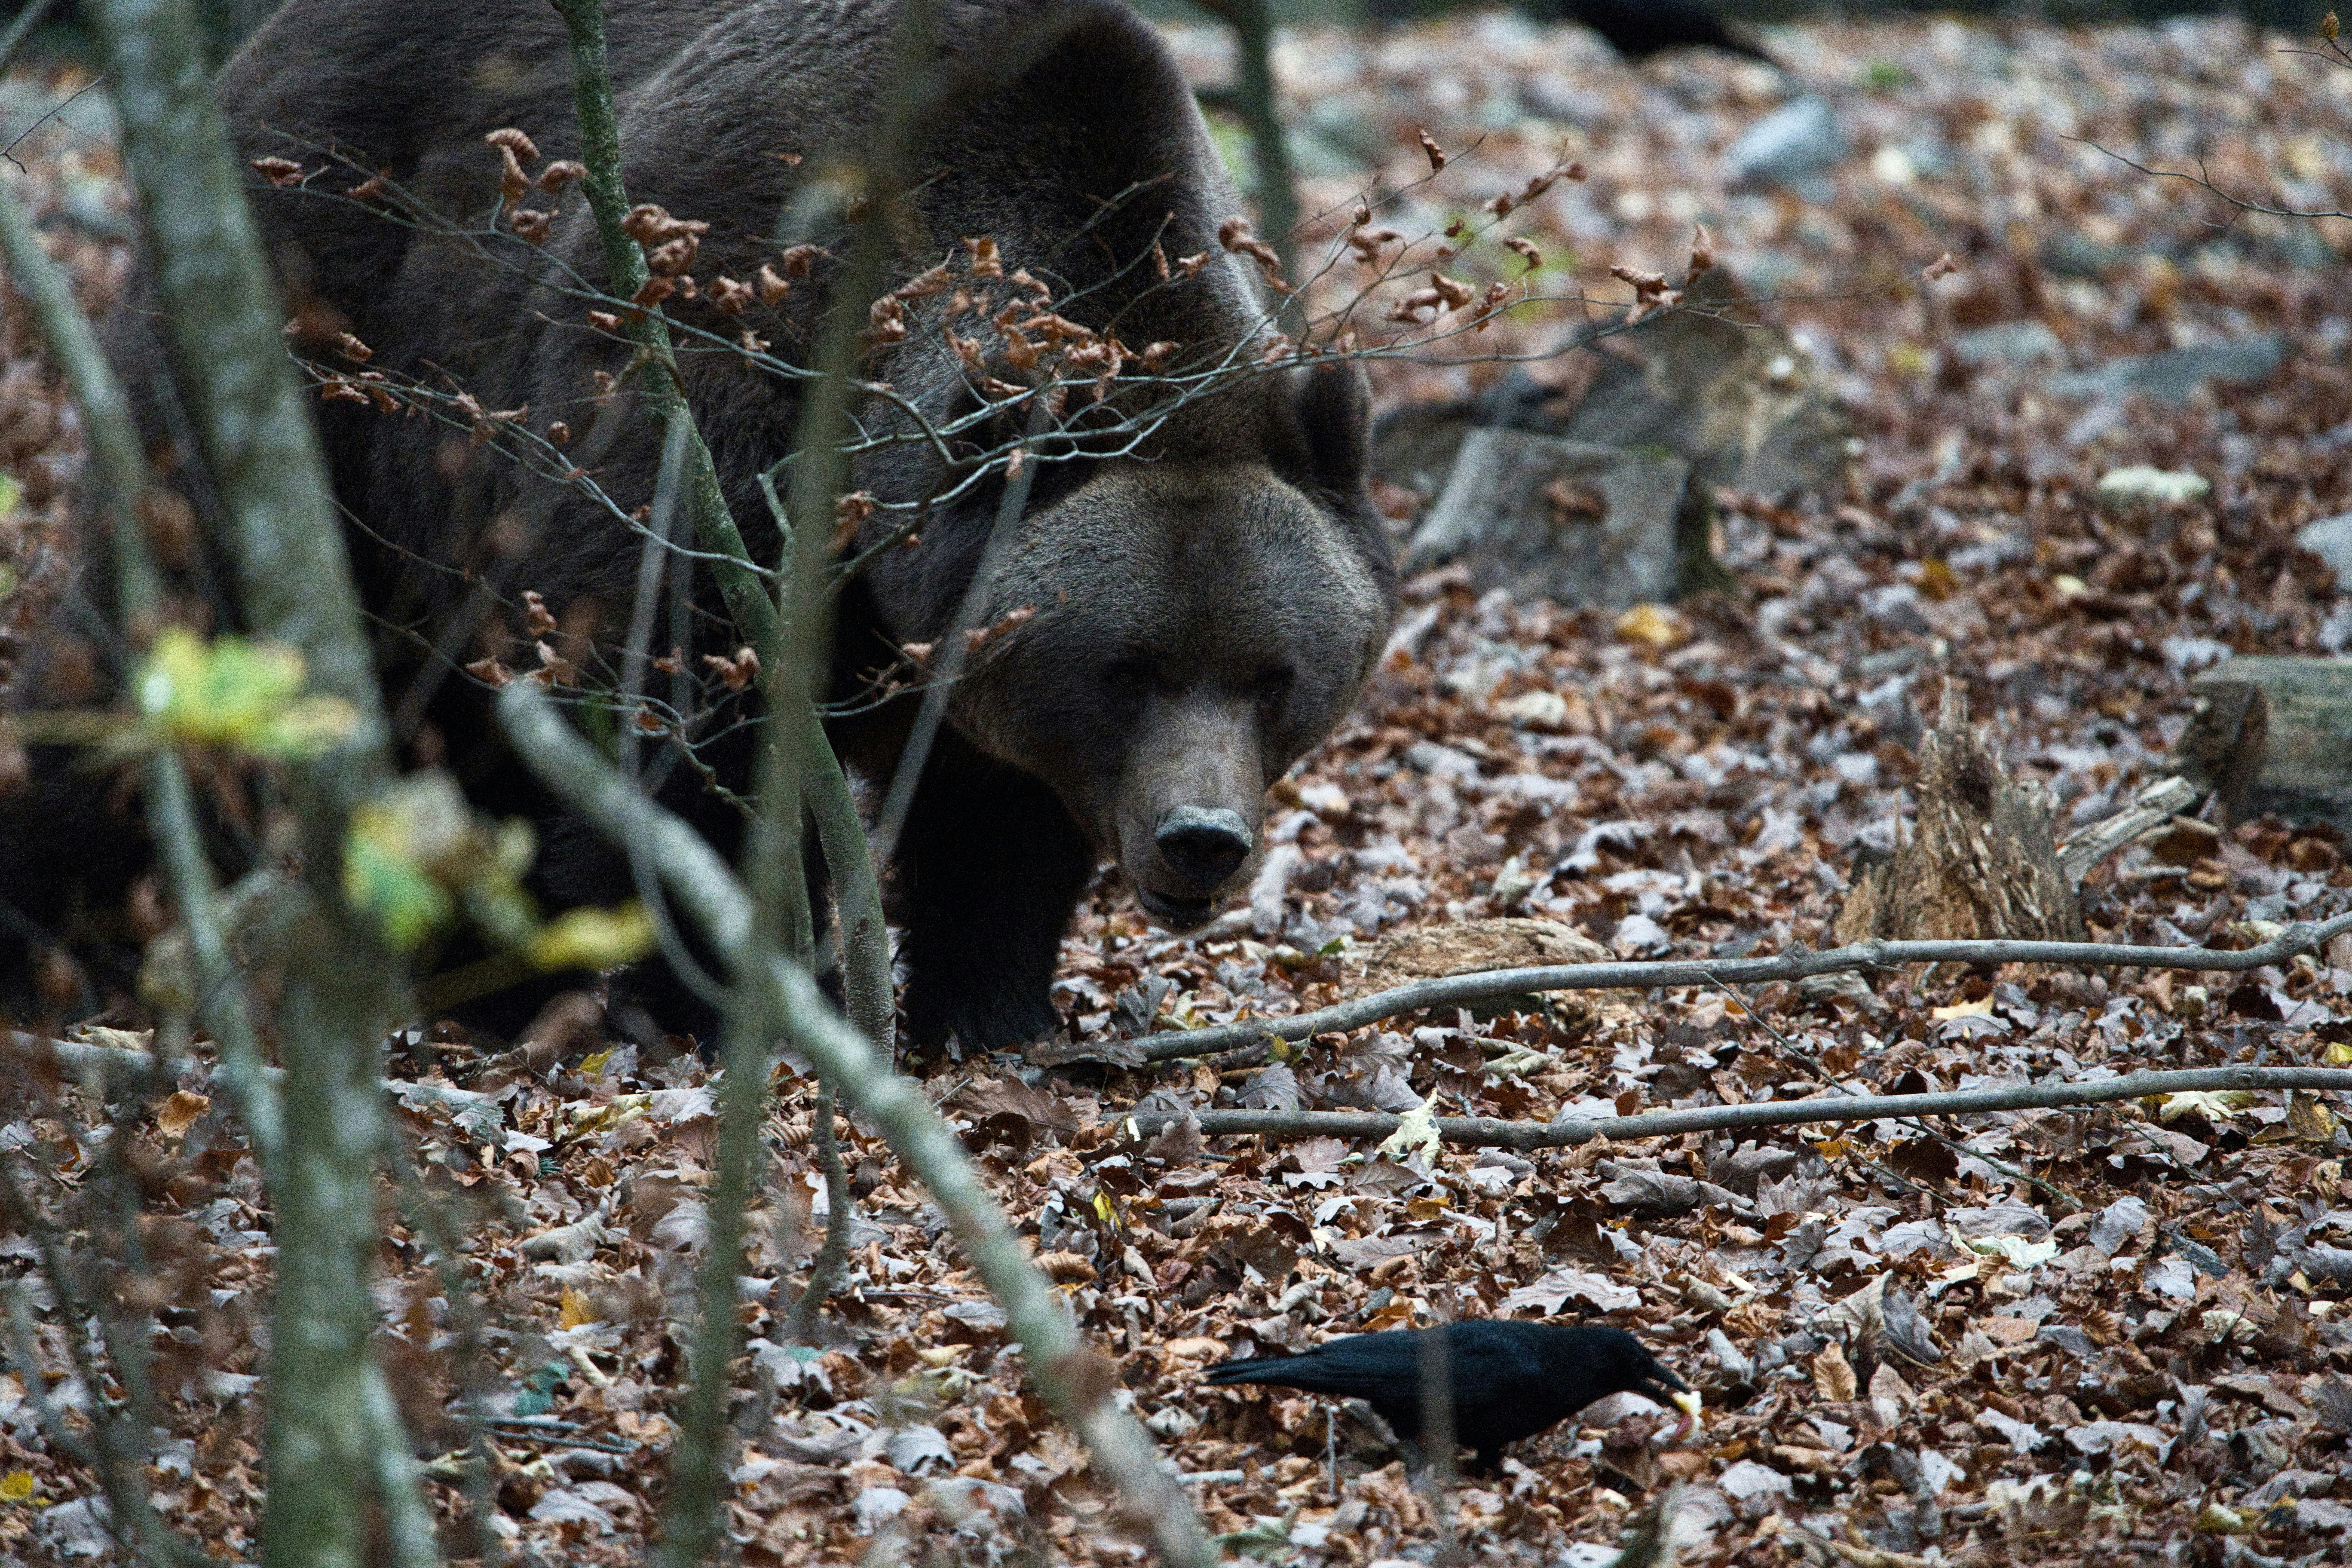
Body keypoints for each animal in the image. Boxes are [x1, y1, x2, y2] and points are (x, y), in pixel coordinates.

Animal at [1, 0, 1395, 1051]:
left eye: (1272, 674)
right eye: (1128, 668)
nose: (1201, 841)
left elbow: (1000, 811)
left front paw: (987, 1011)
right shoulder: (712, 407)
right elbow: (688, 729)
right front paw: (726, 996)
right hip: (315, 344)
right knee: (183, 629)